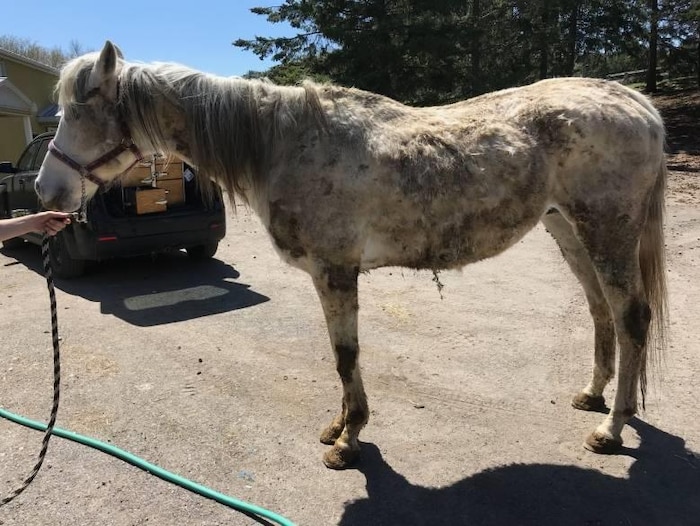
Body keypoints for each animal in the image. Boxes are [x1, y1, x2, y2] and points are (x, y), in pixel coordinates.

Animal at [35, 41, 668, 470]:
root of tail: (637, 102)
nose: (44, 192)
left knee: (632, 317)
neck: (285, 142)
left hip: (607, 230)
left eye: (80, 112)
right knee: (602, 312)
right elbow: (342, 357)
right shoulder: (329, 274)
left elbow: (345, 355)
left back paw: (612, 430)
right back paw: (593, 397)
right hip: (567, 230)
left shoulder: (335, 271)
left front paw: (349, 441)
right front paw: (339, 426)